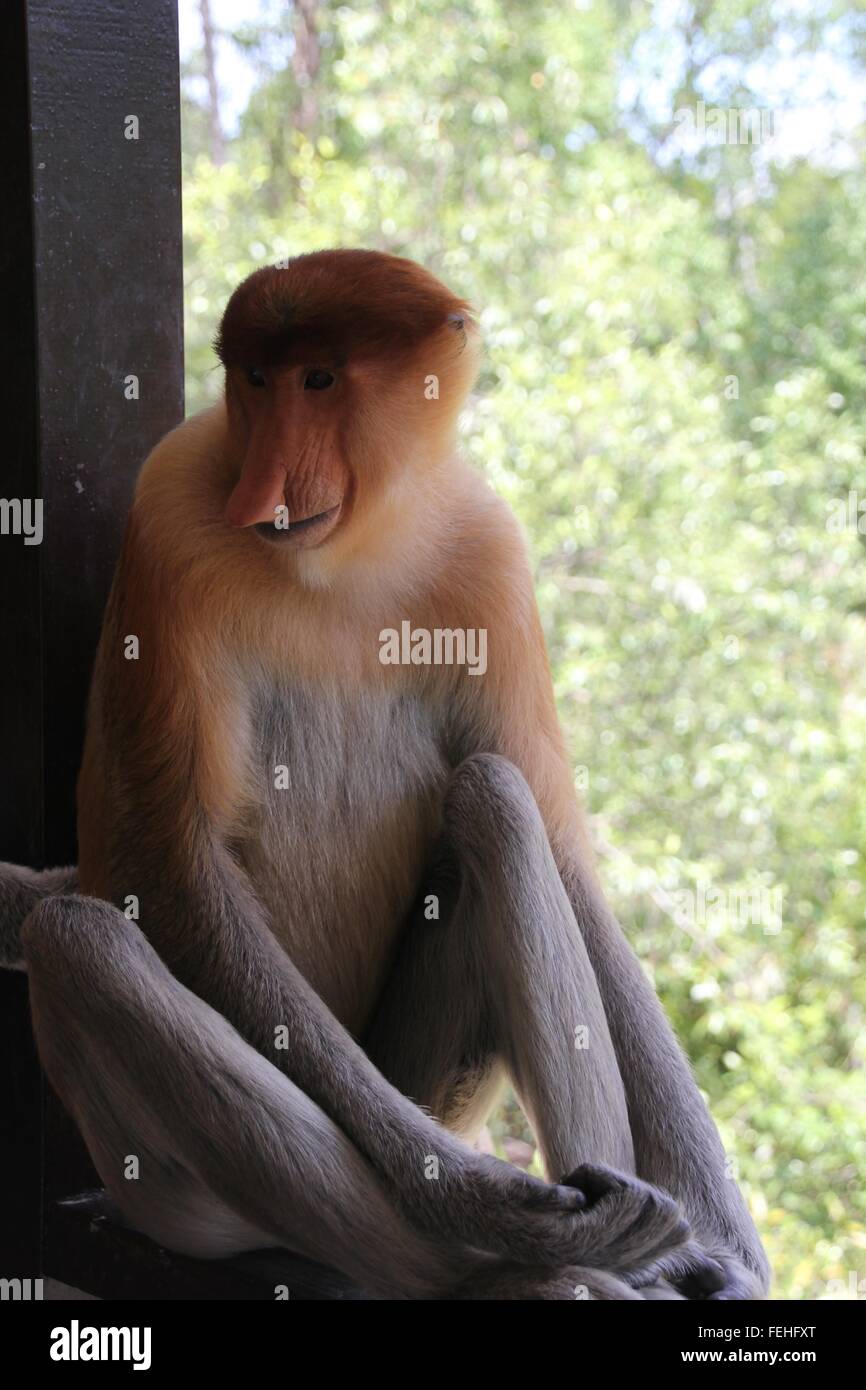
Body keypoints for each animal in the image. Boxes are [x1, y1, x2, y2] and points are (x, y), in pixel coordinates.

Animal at [0, 249, 769, 1300]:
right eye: (256, 379)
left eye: (321, 379)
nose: (260, 495)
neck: (345, 558)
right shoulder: (170, 514)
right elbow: (165, 868)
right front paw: (481, 1201)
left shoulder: (492, 557)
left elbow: (566, 859)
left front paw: (725, 1245)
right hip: (168, 1192)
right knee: (82, 942)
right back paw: (497, 1253)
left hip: (426, 1079)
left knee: (495, 796)